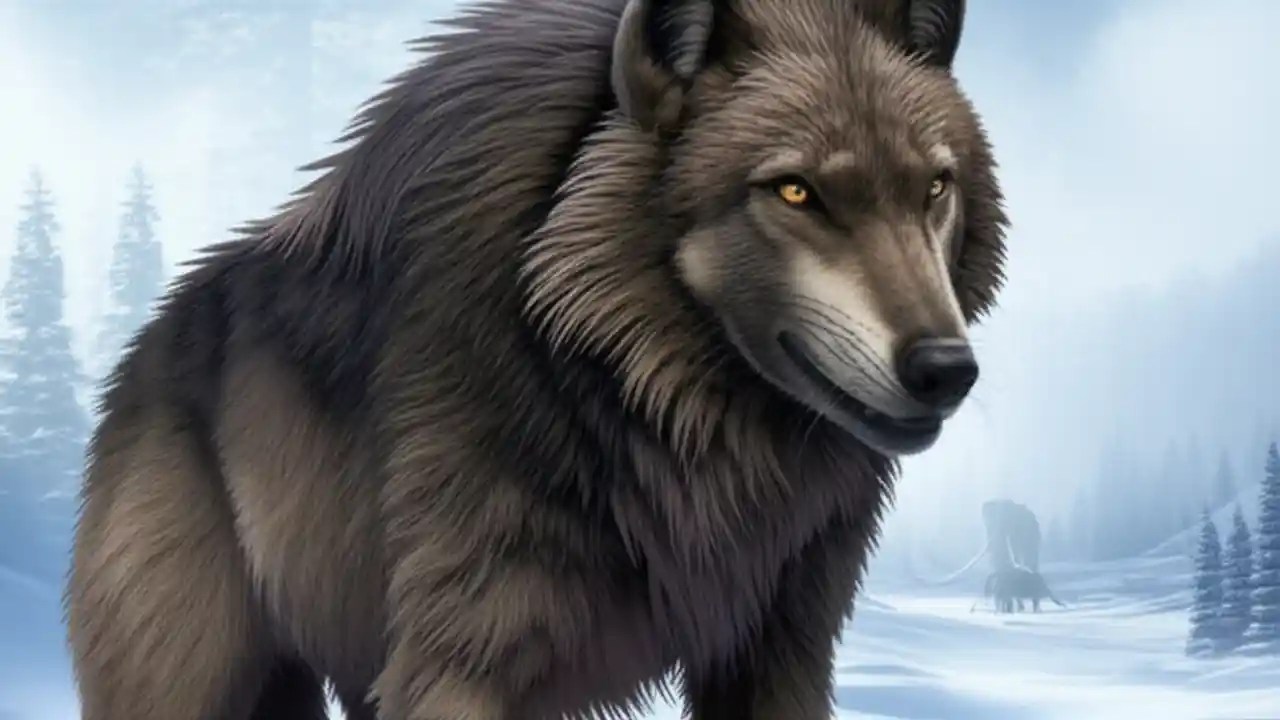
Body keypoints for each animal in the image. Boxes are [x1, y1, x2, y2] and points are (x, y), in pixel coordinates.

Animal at [65, 1, 1007, 718]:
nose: (944, 368)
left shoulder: (779, 645)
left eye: (934, 187)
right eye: (796, 191)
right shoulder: (462, 660)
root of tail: (150, 343)